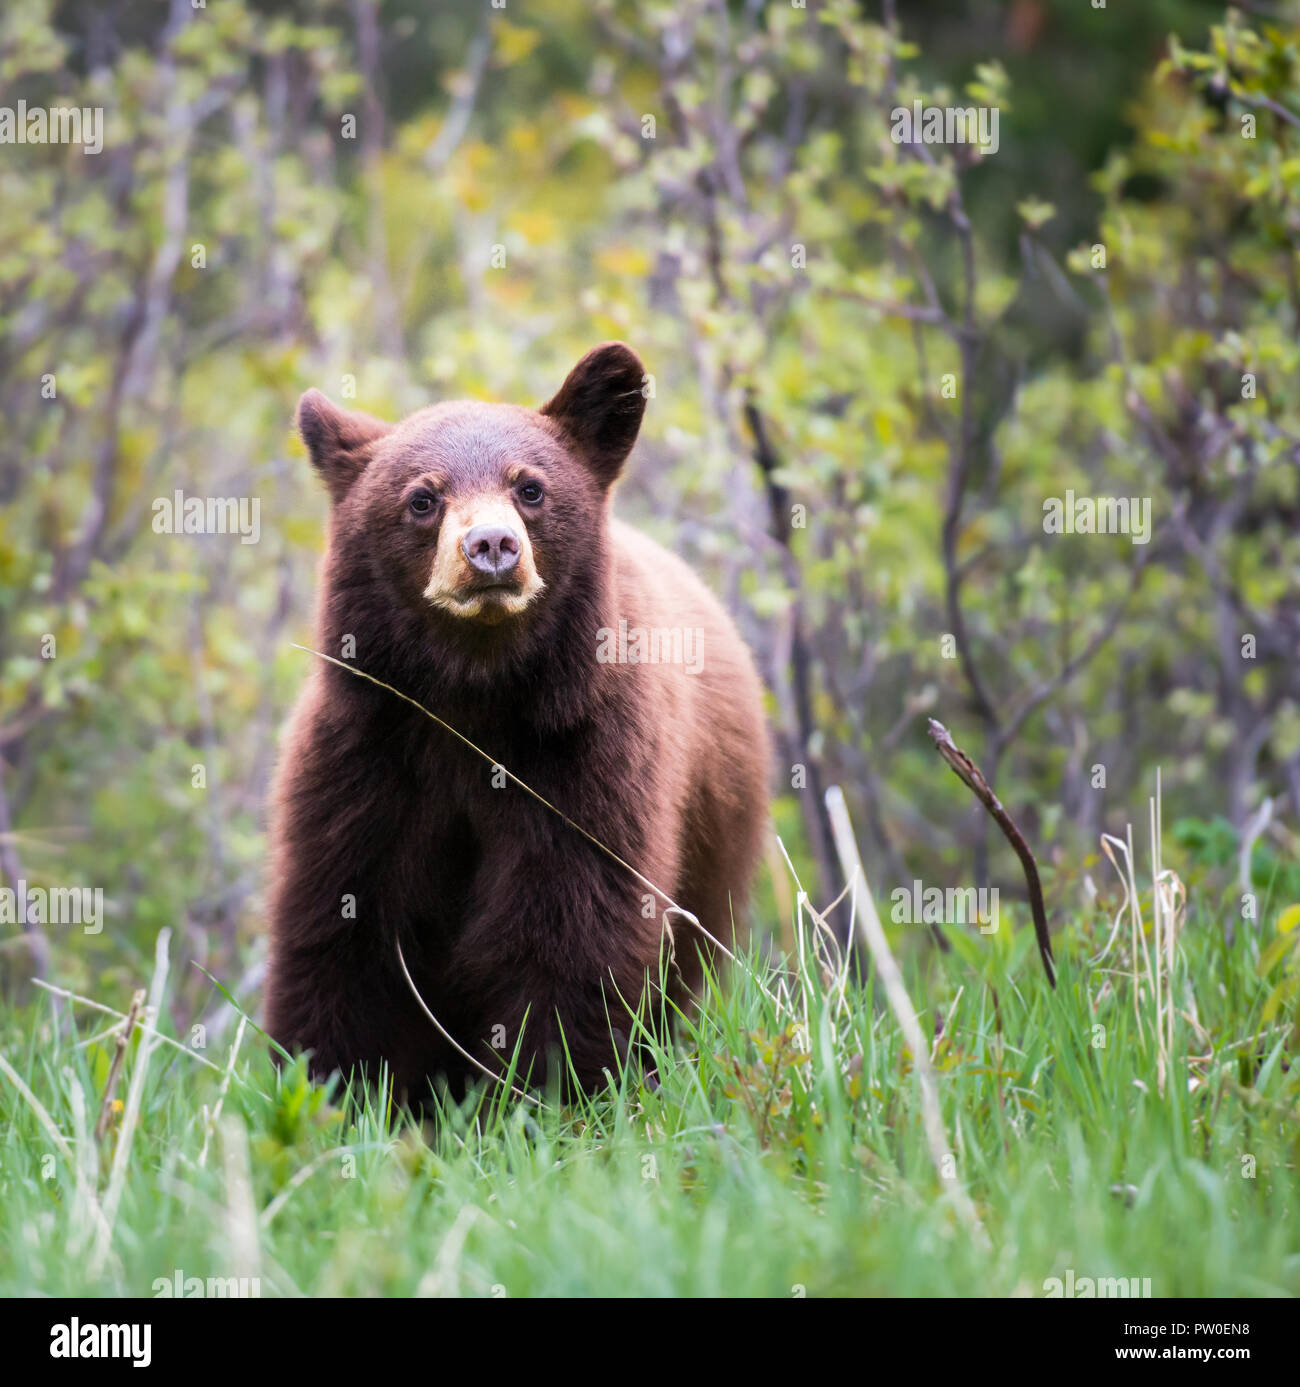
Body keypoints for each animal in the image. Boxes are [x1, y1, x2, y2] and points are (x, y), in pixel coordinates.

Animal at [264, 342, 770, 1101]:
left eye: (530, 488)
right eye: (422, 498)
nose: (492, 545)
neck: (472, 696)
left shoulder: (587, 757)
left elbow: (570, 931)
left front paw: (548, 1095)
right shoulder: (364, 756)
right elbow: (341, 922)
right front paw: (329, 1087)